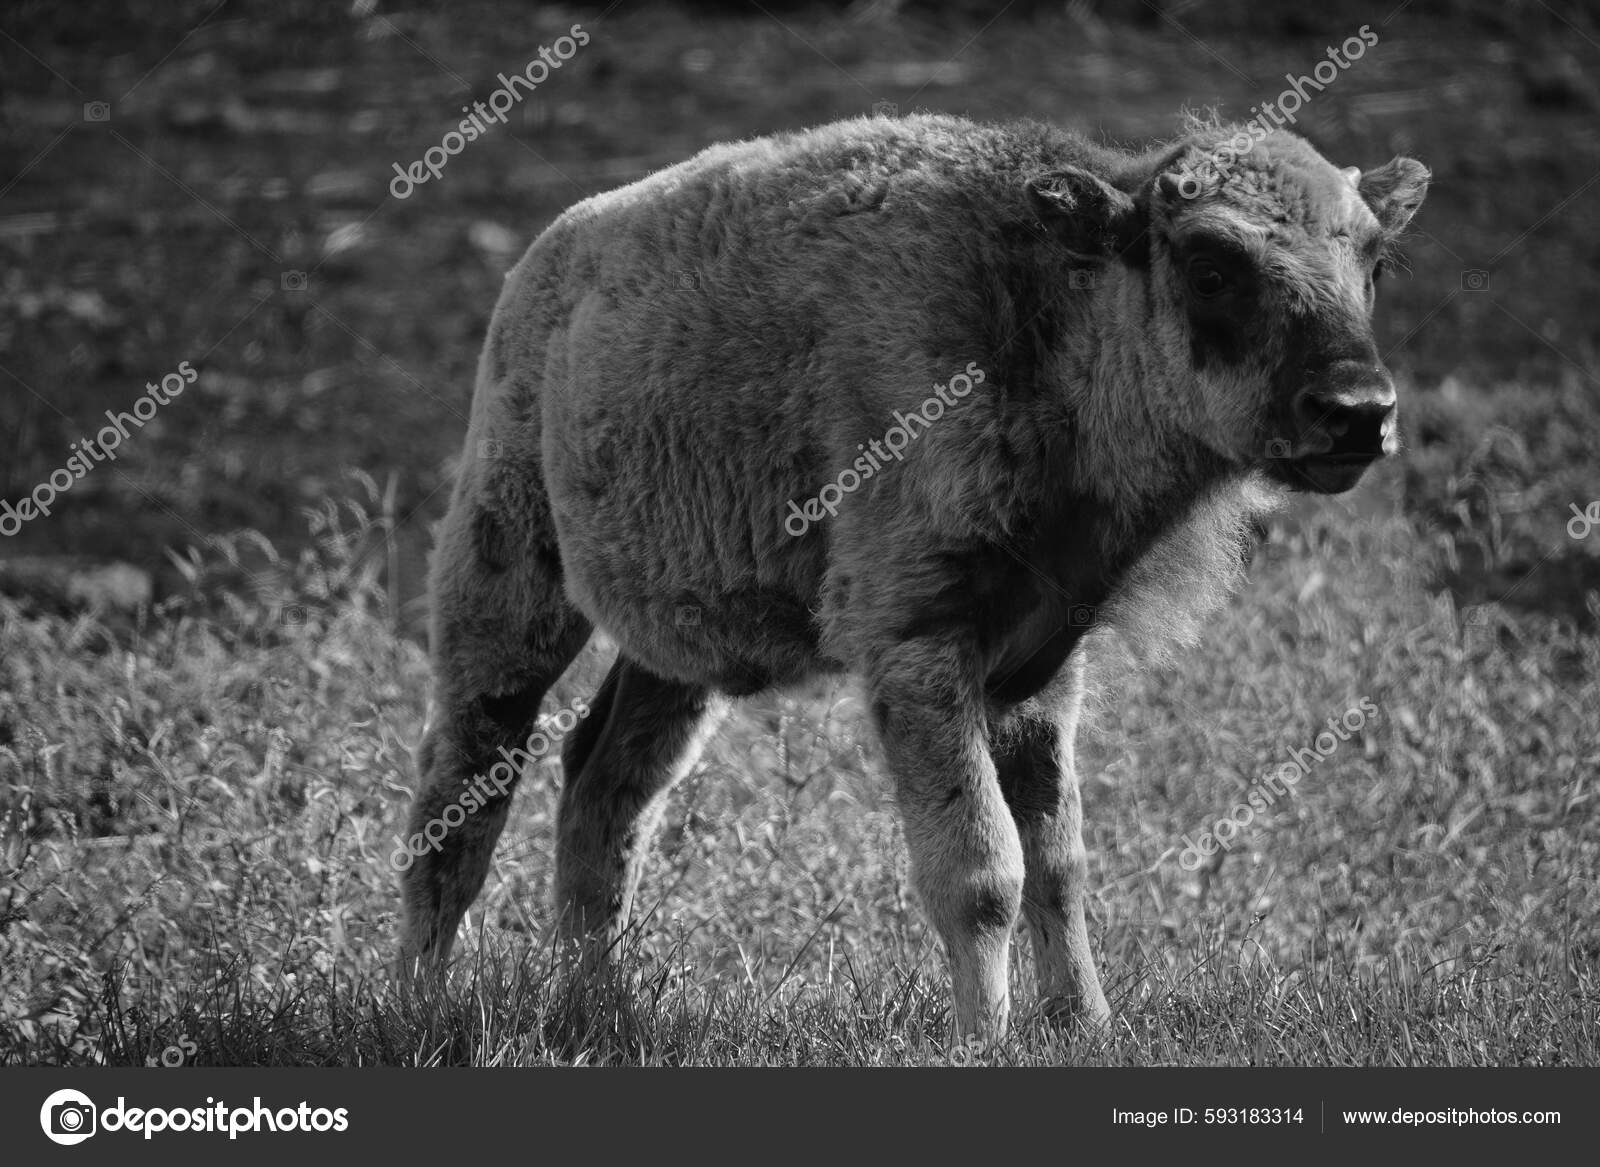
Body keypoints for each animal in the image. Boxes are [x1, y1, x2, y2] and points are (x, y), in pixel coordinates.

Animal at [398, 113, 1428, 1046]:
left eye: (1374, 263)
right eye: (1211, 264)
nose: (1358, 412)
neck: (1045, 317)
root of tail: (546, 266)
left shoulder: (1042, 665)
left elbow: (1060, 859)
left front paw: (1087, 1024)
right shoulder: (922, 650)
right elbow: (981, 869)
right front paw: (987, 1040)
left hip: (676, 653)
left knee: (606, 785)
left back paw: (597, 1009)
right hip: (508, 585)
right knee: (462, 794)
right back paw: (418, 1006)